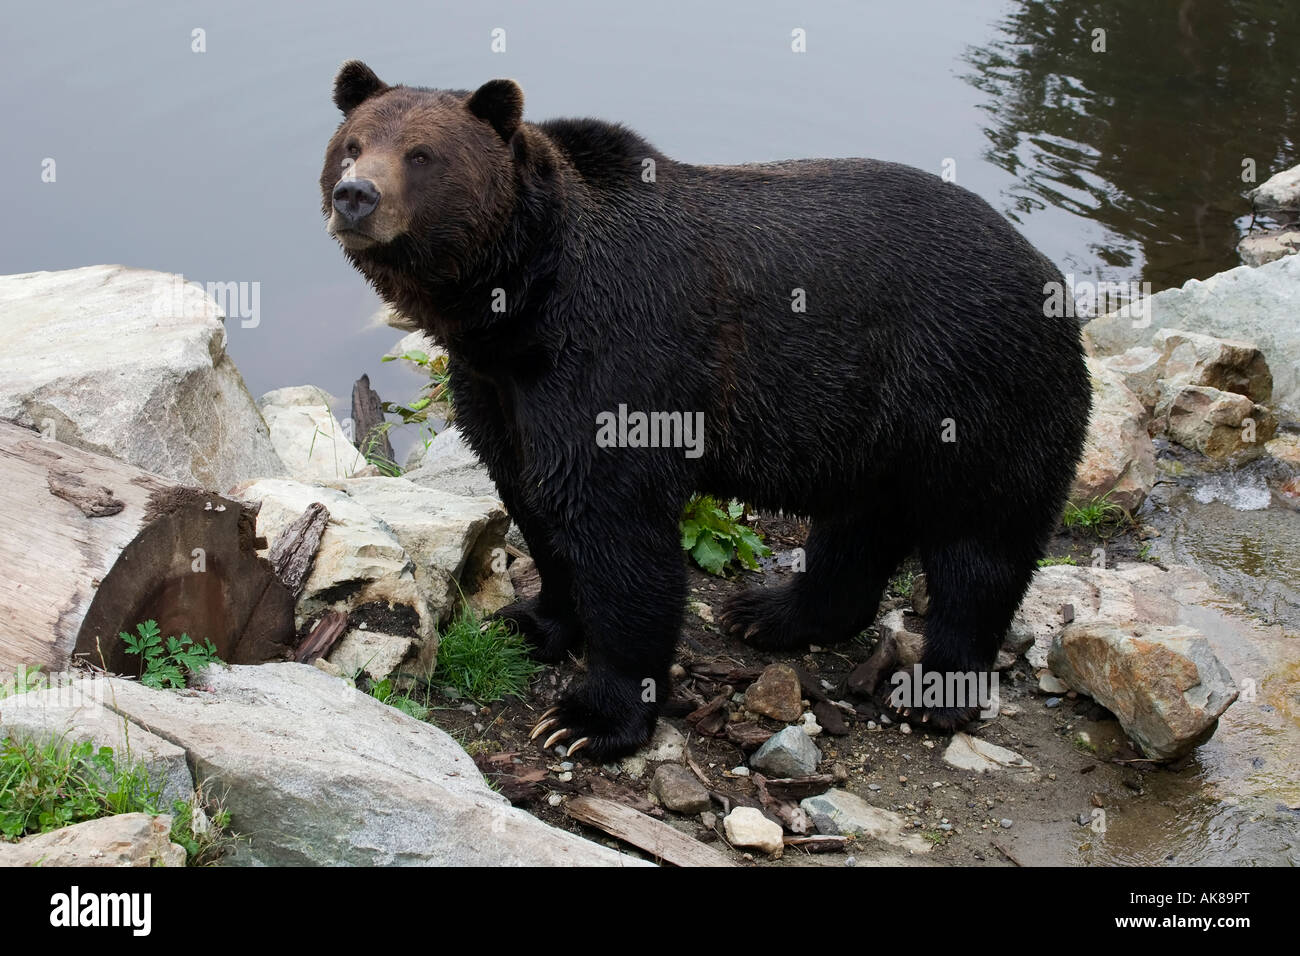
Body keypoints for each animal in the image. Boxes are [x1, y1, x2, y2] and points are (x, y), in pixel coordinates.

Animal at [321, 61, 1093, 760]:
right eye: (353, 143)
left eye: (422, 155)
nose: (355, 195)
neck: (520, 301)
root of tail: (1050, 272)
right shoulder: (497, 385)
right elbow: (532, 497)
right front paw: (533, 621)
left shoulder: (618, 351)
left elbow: (617, 527)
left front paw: (588, 717)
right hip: (877, 423)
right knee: (860, 522)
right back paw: (771, 612)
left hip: (972, 385)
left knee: (979, 543)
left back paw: (937, 687)